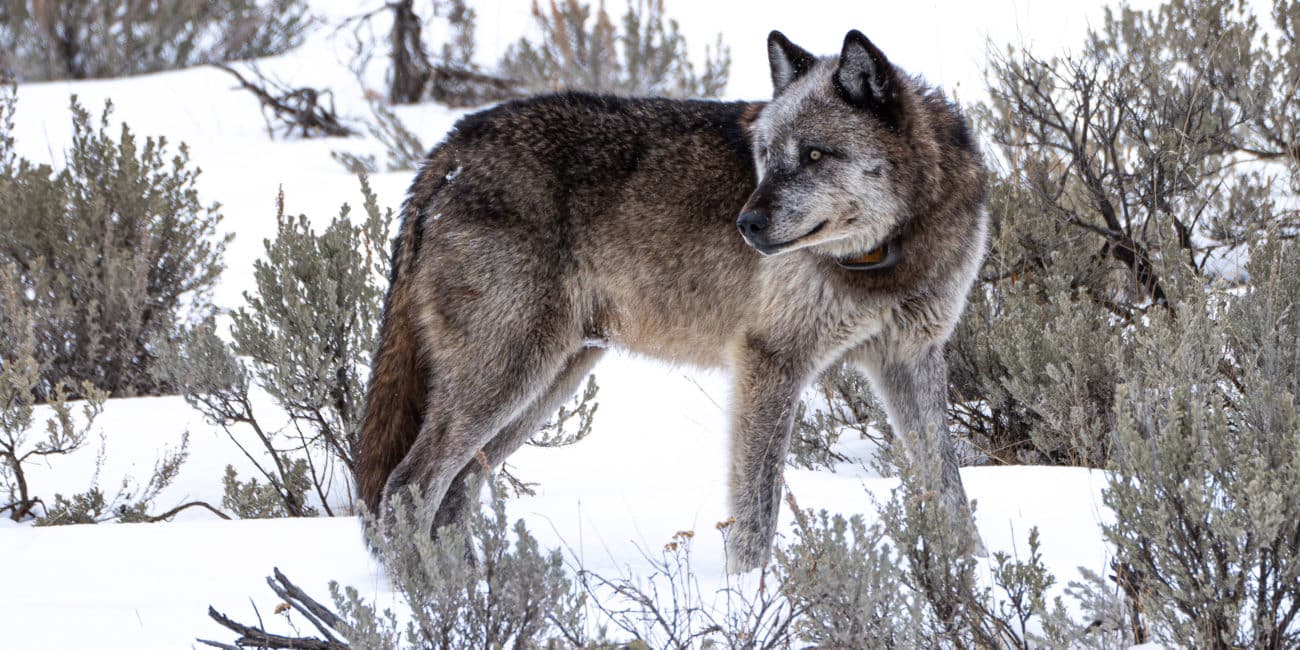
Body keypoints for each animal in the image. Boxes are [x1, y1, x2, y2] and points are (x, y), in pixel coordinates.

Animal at [356, 29, 988, 572]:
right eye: (765, 154)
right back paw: (431, 602)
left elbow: (950, 488)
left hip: (546, 385)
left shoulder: (912, 358)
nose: (746, 225)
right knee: (408, 487)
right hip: (509, 378)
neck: (883, 260)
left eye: (813, 155)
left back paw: (471, 592)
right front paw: (749, 597)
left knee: (454, 494)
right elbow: (757, 513)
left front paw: (973, 578)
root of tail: (449, 146)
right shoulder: (769, 362)